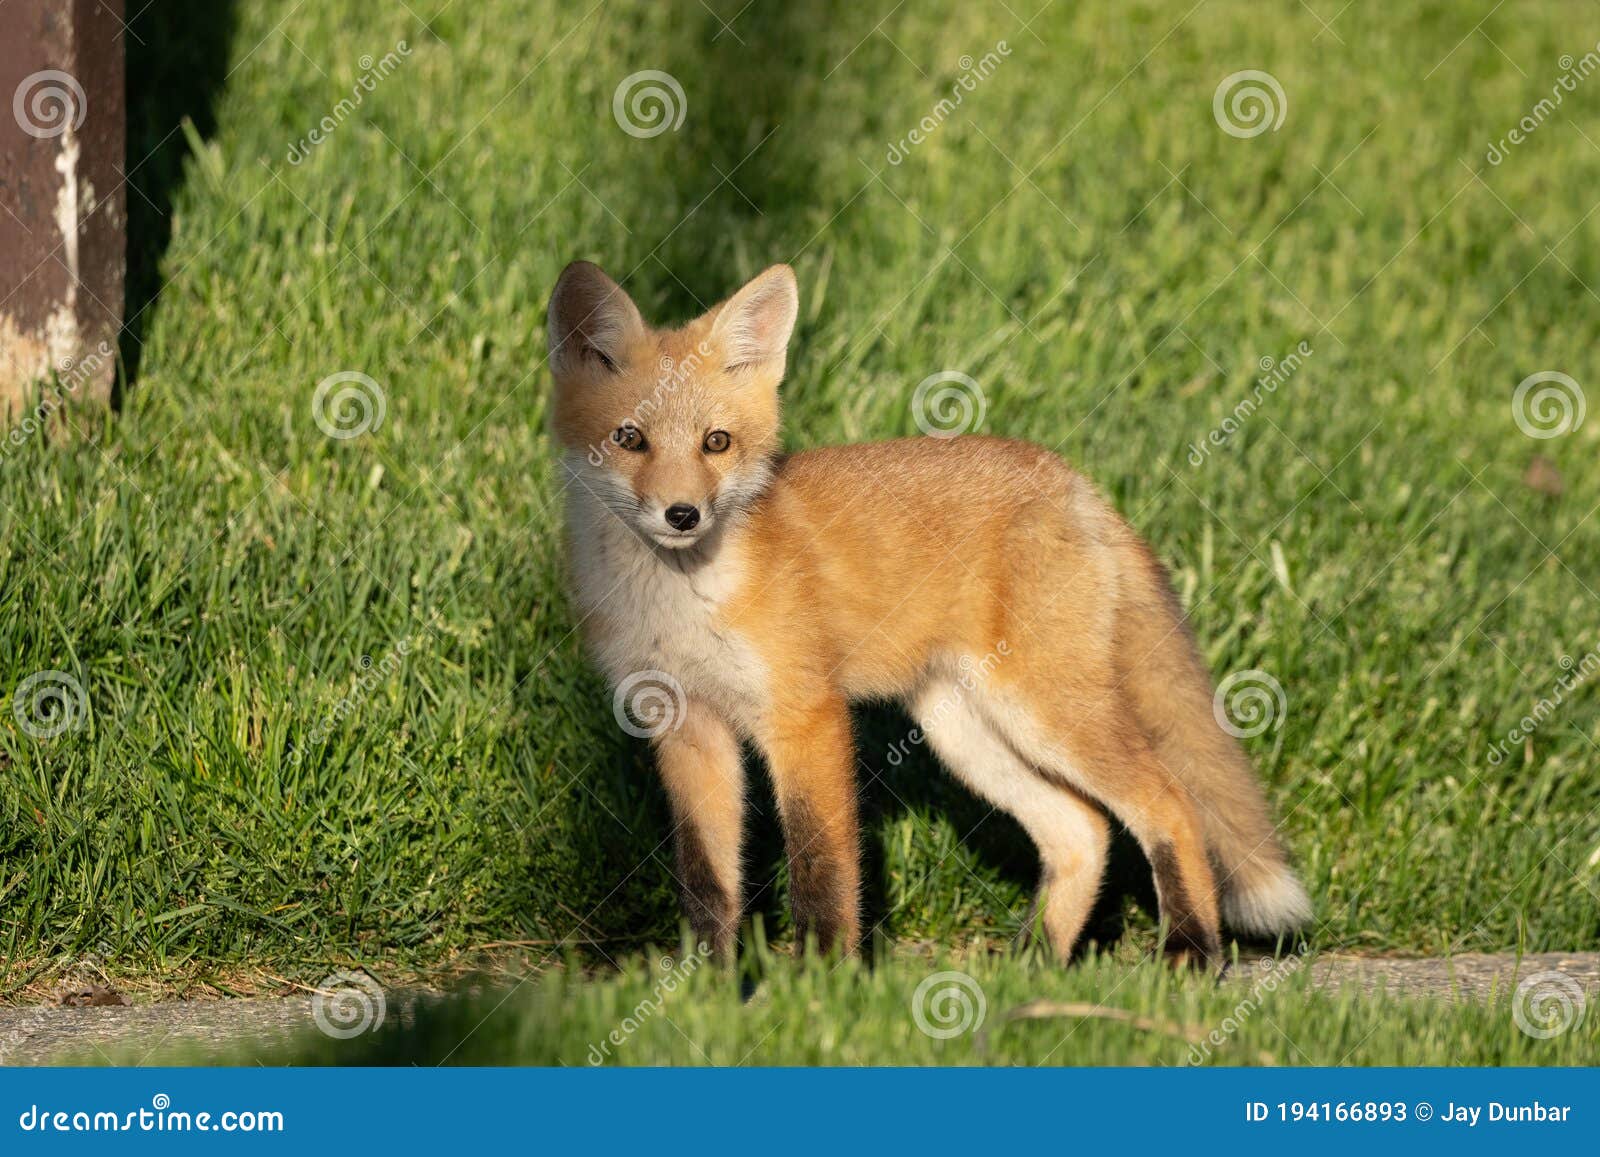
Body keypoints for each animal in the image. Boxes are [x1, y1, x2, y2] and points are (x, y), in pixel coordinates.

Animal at [547, 259, 1311, 966]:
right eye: (630, 439)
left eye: (716, 442)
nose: (683, 514)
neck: (679, 600)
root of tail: (1072, 479)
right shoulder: (687, 728)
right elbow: (707, 882)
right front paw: (706, 989)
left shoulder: (806, 715)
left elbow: (821, 870)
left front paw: (819, 984)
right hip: (964, 728)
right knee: (1082, 828)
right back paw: (1033, 967)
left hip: (1047, 711)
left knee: (1169, 803)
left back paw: (1190, 952)